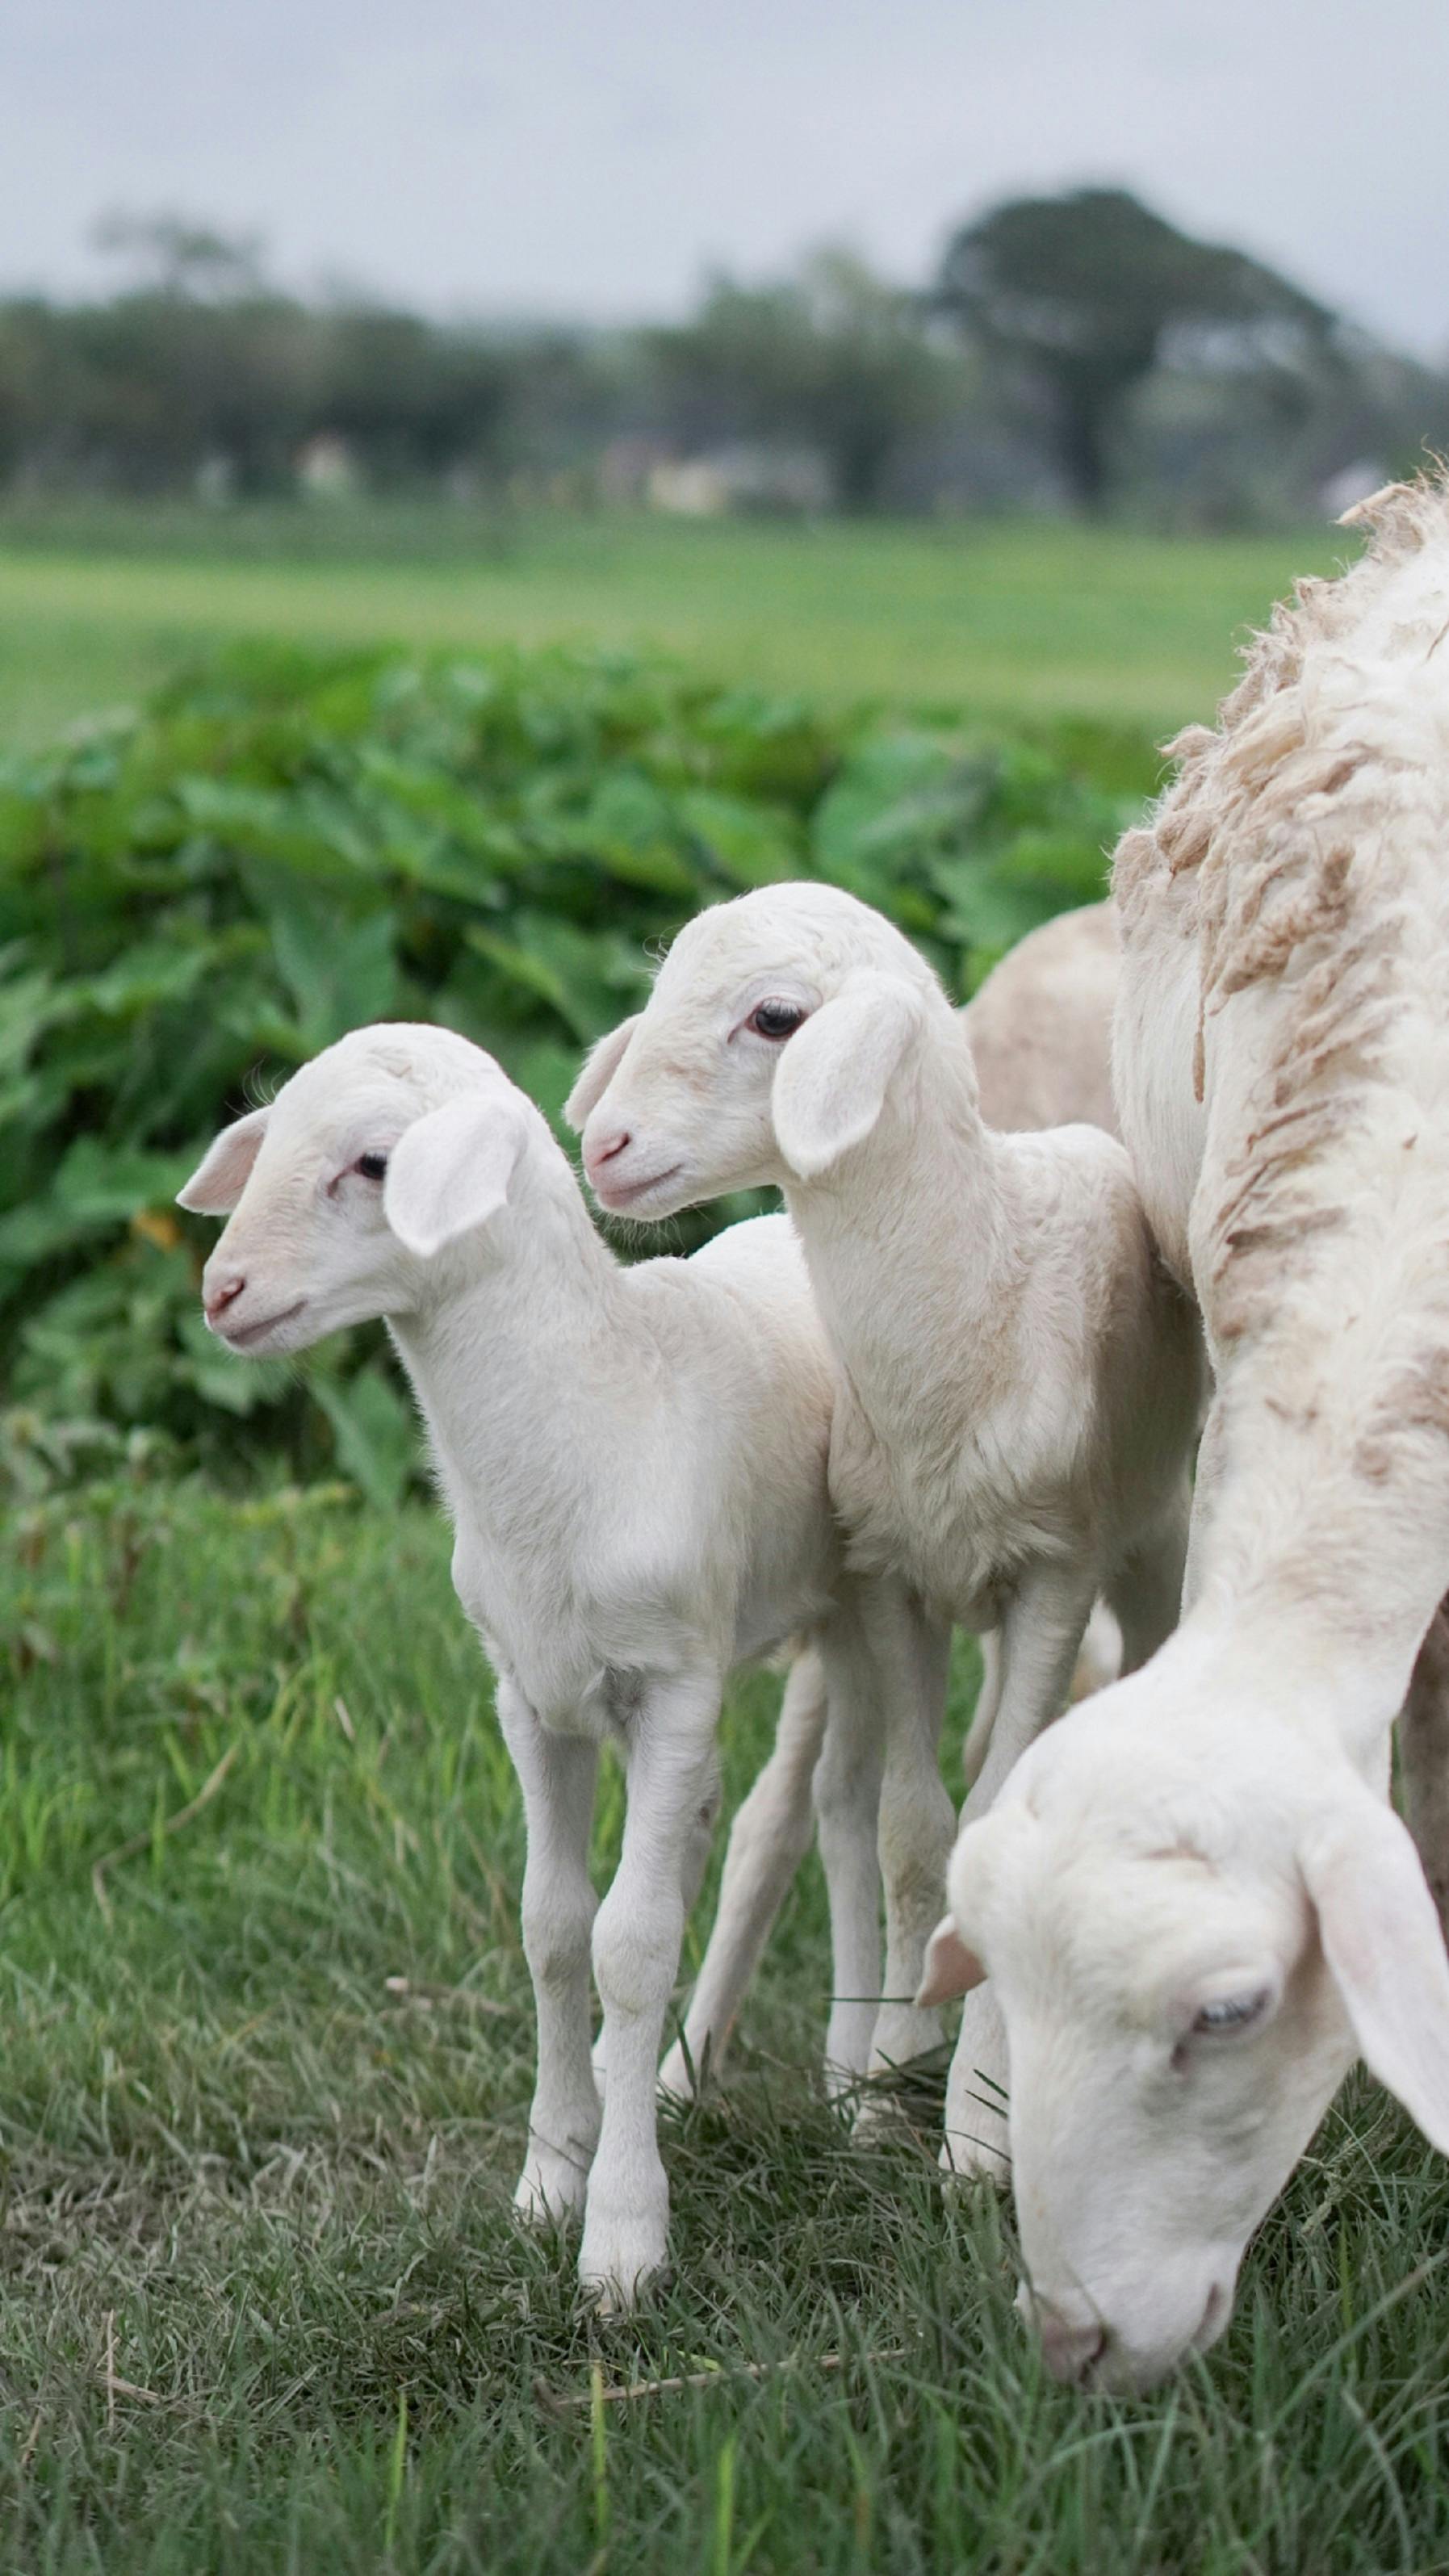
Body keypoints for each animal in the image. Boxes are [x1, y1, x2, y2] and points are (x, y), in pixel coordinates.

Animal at [177, 1023, 953, 2310]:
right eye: (272, 1136)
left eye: (374, 1162)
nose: (221, 1290)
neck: (597, 1409)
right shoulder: (528, 1693)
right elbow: (552, 1926)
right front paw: (549, 2177)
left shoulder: (676, 1679)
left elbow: (630, 1943)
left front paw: (624, 2238)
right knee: (802, 1811)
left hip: (869, 1594)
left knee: (871, 1811)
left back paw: (865, 2084)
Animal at [571, 884, 1202, 2181]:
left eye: (773, 1017)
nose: (602, 1145)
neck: (979, 1297)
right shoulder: (891, 1577)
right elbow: (915, 1833)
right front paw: (888, 2084)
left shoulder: (1055, 1571)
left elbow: (991, 1816)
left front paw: (974, 2131)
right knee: (779, 1816)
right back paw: (682, 2076)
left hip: (1149, 1537)